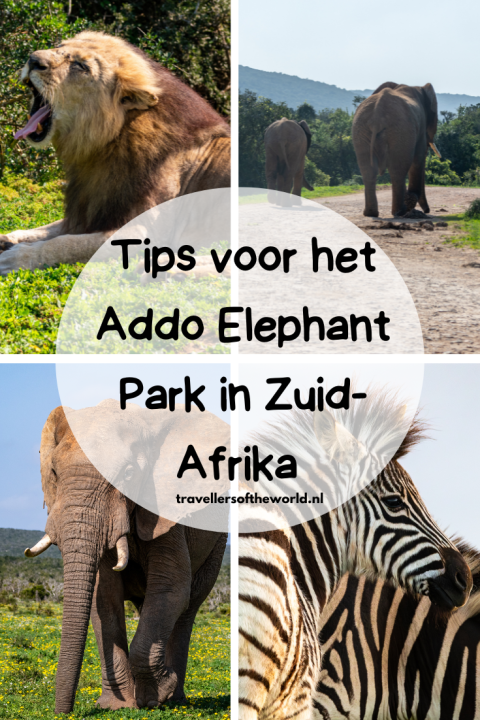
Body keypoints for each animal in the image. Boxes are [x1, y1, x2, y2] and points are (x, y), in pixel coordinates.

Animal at [24, 400, 230, 714]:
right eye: (54, 472)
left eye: (129, 474)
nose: (62, 712)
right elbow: (104, 596)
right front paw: (117, 707)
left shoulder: (165, 512)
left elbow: (171, 589)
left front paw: (156, 696)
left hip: (218, 540)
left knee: (189, 605)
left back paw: (175, 698)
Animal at [352, 82, 440, 217]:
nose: (427, 211)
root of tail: (377, 115)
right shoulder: (420, 127)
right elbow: (418, 158)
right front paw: (410, 202)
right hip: (401, 130)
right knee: (397, 169)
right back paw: (401, 211)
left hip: (362, 129)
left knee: (368, 170)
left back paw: (371, 213)